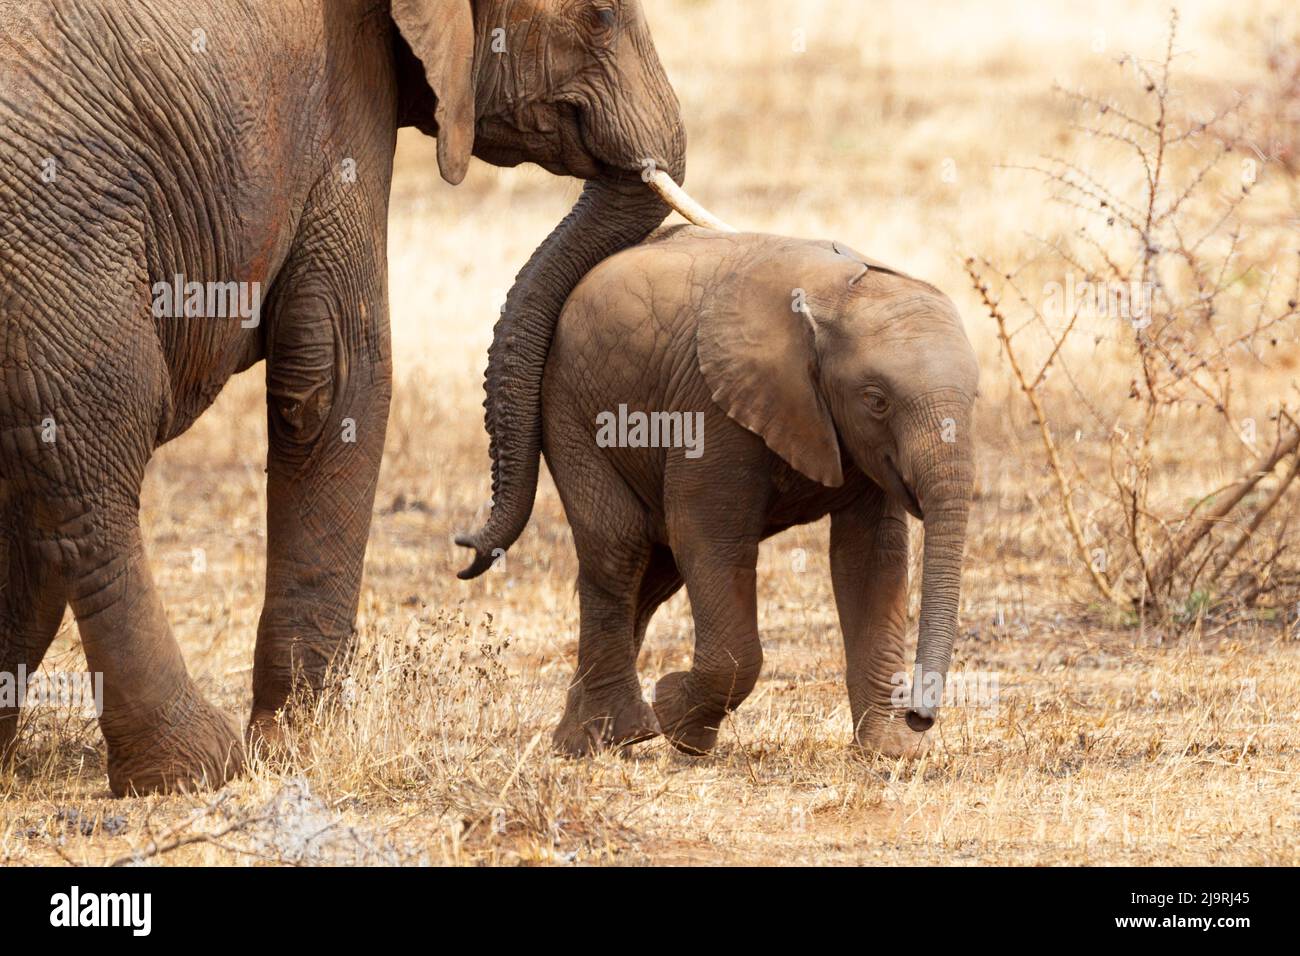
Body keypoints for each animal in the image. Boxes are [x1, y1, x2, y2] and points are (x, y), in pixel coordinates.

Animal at [0, 0, 695, 796]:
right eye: (601, 17)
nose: (466, 552)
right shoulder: (345, 87)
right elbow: (339, 373)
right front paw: (297, 744)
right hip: (58, 233)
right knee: (97, 448)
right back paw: (198, 767)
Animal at [460, 226, 979, 757]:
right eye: (876, 401)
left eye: (975, 398)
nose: (921, 716)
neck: (834, 300)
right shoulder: (712, 407)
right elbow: (711, 537)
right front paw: (677, 720)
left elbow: (871, 557)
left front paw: (890, 751)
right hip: (571, 406)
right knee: (619, 545)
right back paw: (621, 734)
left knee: (653, 571)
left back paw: (585, 740)